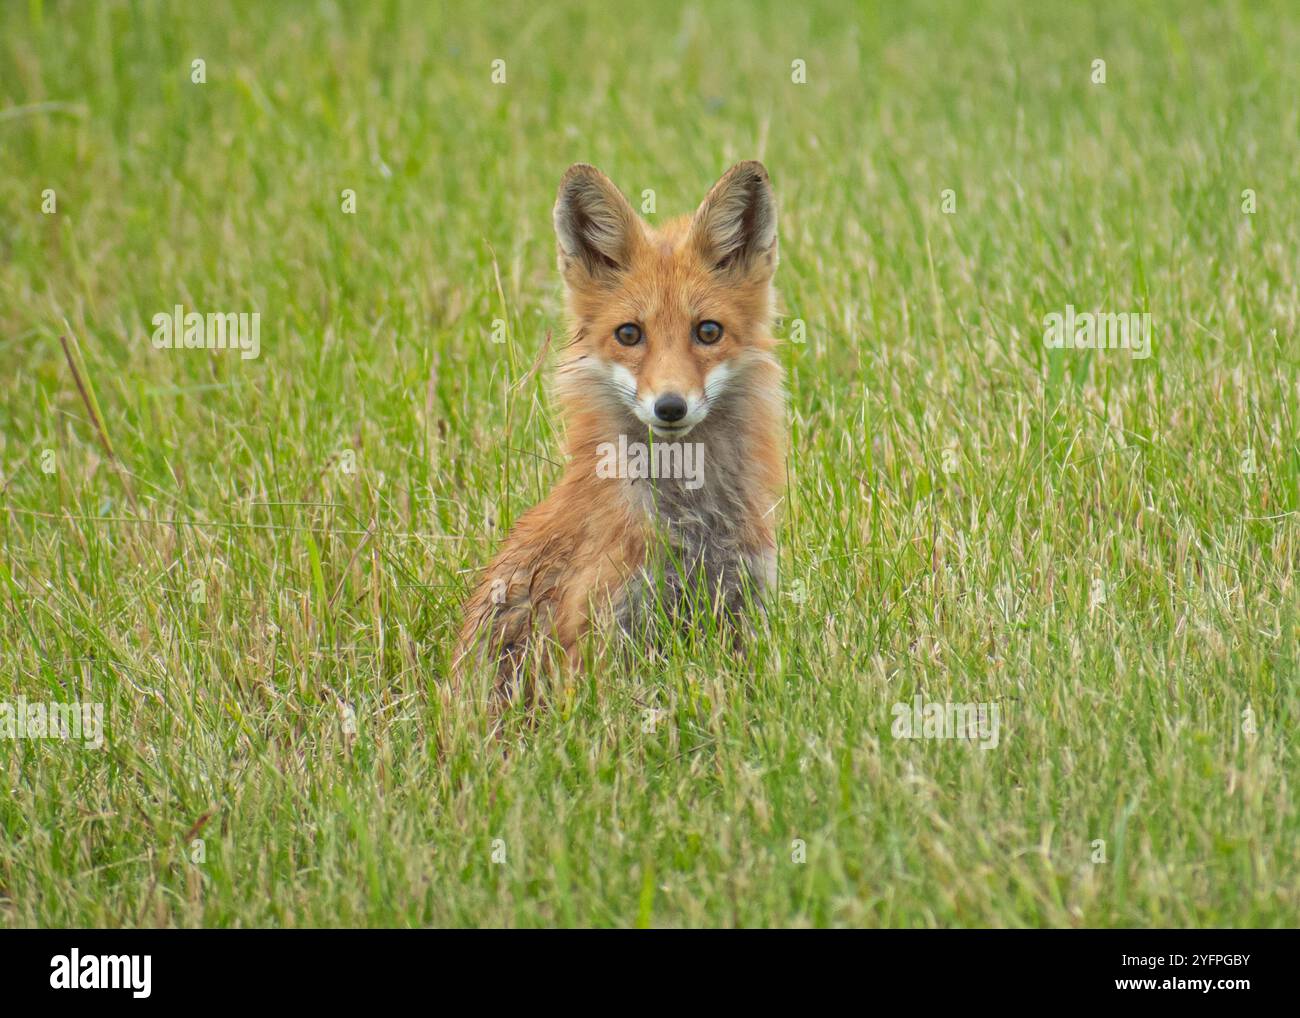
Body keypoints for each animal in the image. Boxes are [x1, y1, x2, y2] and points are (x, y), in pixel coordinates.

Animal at [454, 161, 786, 703]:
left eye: (708, 331)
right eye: (629, 334)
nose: (670, 406)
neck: (691, 525)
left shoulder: (743, 608)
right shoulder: (603, 634)